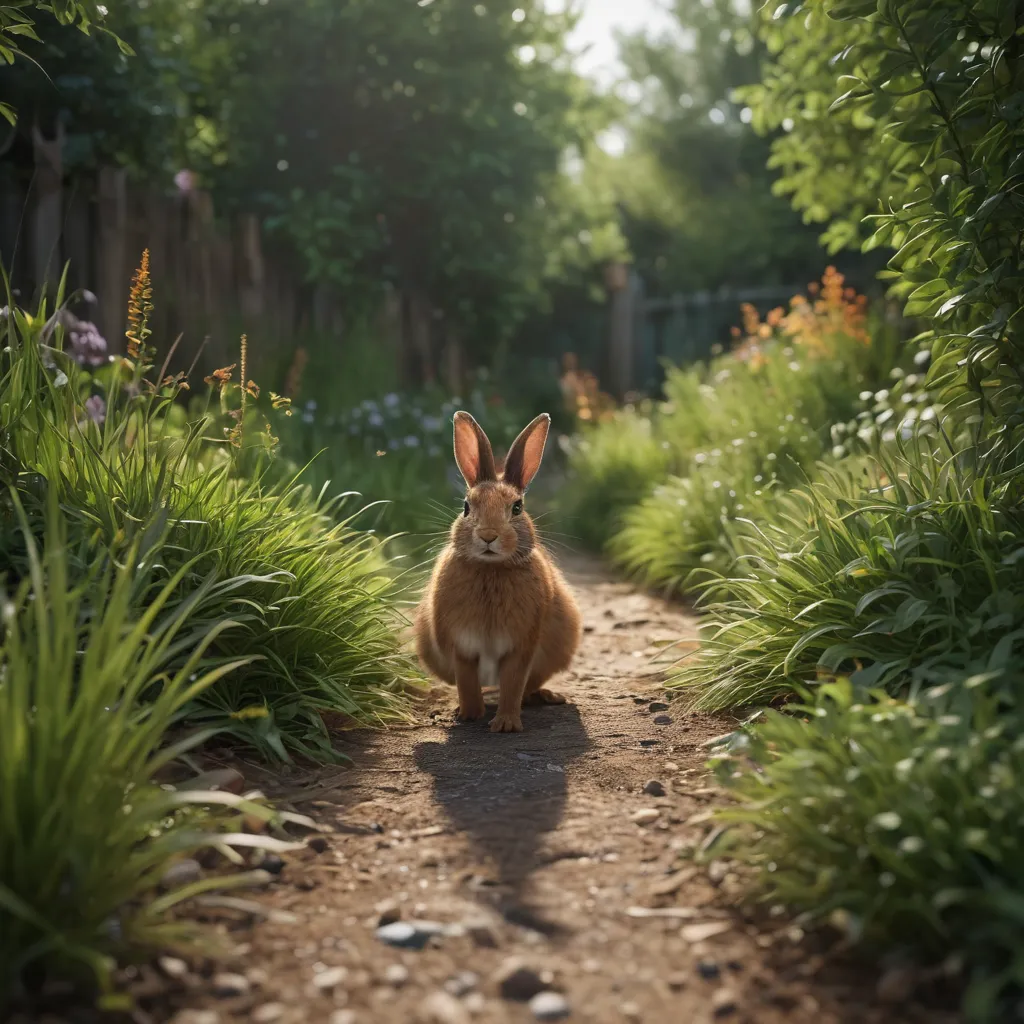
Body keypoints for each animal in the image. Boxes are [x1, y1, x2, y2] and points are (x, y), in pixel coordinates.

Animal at [414, 410, 582, 733]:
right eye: (466, 507)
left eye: (517, 508)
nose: (488, 536)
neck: (490, 570)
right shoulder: (462, 646)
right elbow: (467, 682)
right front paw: (468, 715)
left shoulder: (520, 645)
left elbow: (513, 684)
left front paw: (505, 725)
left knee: (527, 686)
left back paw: (546, 696)